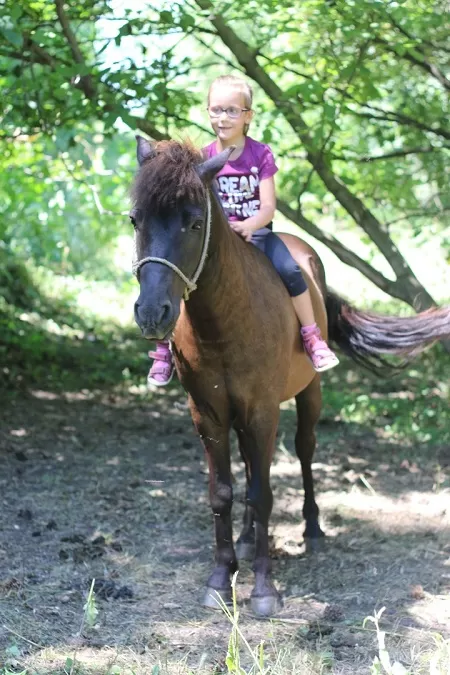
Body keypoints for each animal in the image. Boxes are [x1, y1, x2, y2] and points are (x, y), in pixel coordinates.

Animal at [131, 136, 450, 616]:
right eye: (135, 220)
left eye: (194, 223)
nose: (152, 313)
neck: (224, 321)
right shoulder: (207, 413)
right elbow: (223, 493)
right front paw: (221, 579)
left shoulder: (264, 410)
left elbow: (264, 494)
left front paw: (264, 589)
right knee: (249, 465)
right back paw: (246, 538)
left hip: (308, 393)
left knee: (303, 449)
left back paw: (313, 531)